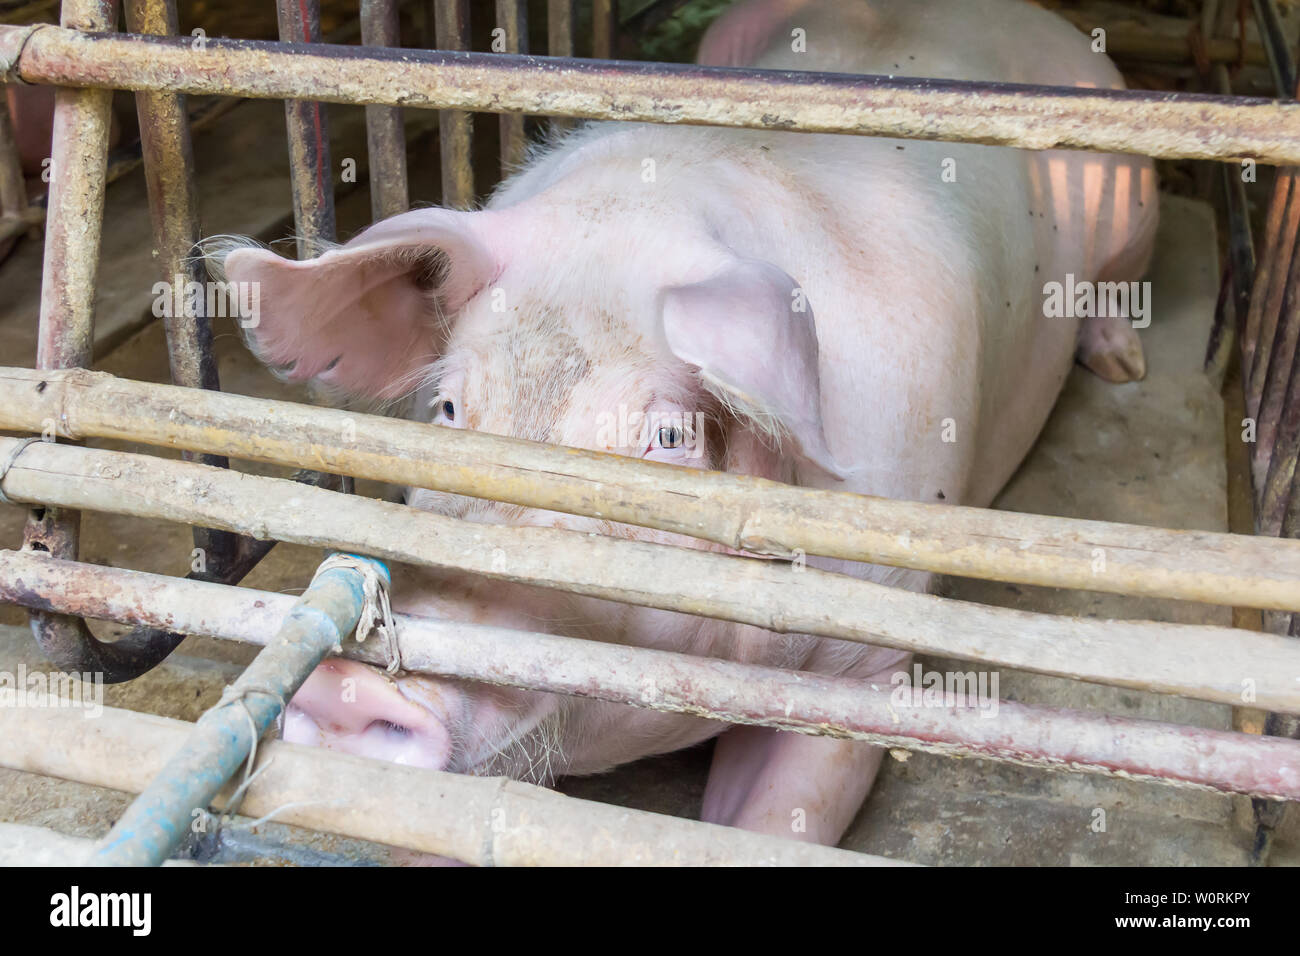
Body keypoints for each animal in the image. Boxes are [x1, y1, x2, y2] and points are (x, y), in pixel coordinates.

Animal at [210, 0, 1156, 848]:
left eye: (671, 440)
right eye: (448, 410)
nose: (356, 691)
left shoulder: (871, 664)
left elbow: (772, 823)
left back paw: (1124, 368)